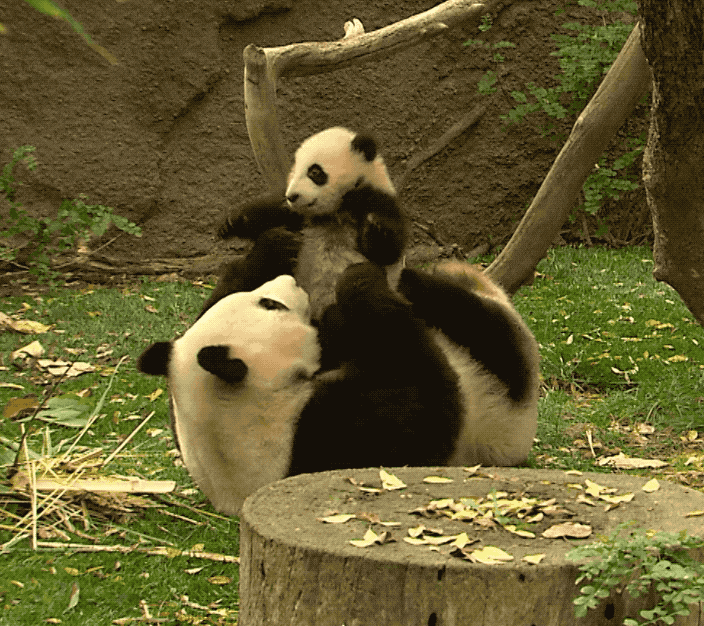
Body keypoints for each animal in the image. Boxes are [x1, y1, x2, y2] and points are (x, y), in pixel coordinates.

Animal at [137, 261, 538, 515]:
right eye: (270, 304)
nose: (290, 279)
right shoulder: (338, 432)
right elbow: (431, 399)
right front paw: (355, 282)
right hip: (504, 395)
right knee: (485, 331)